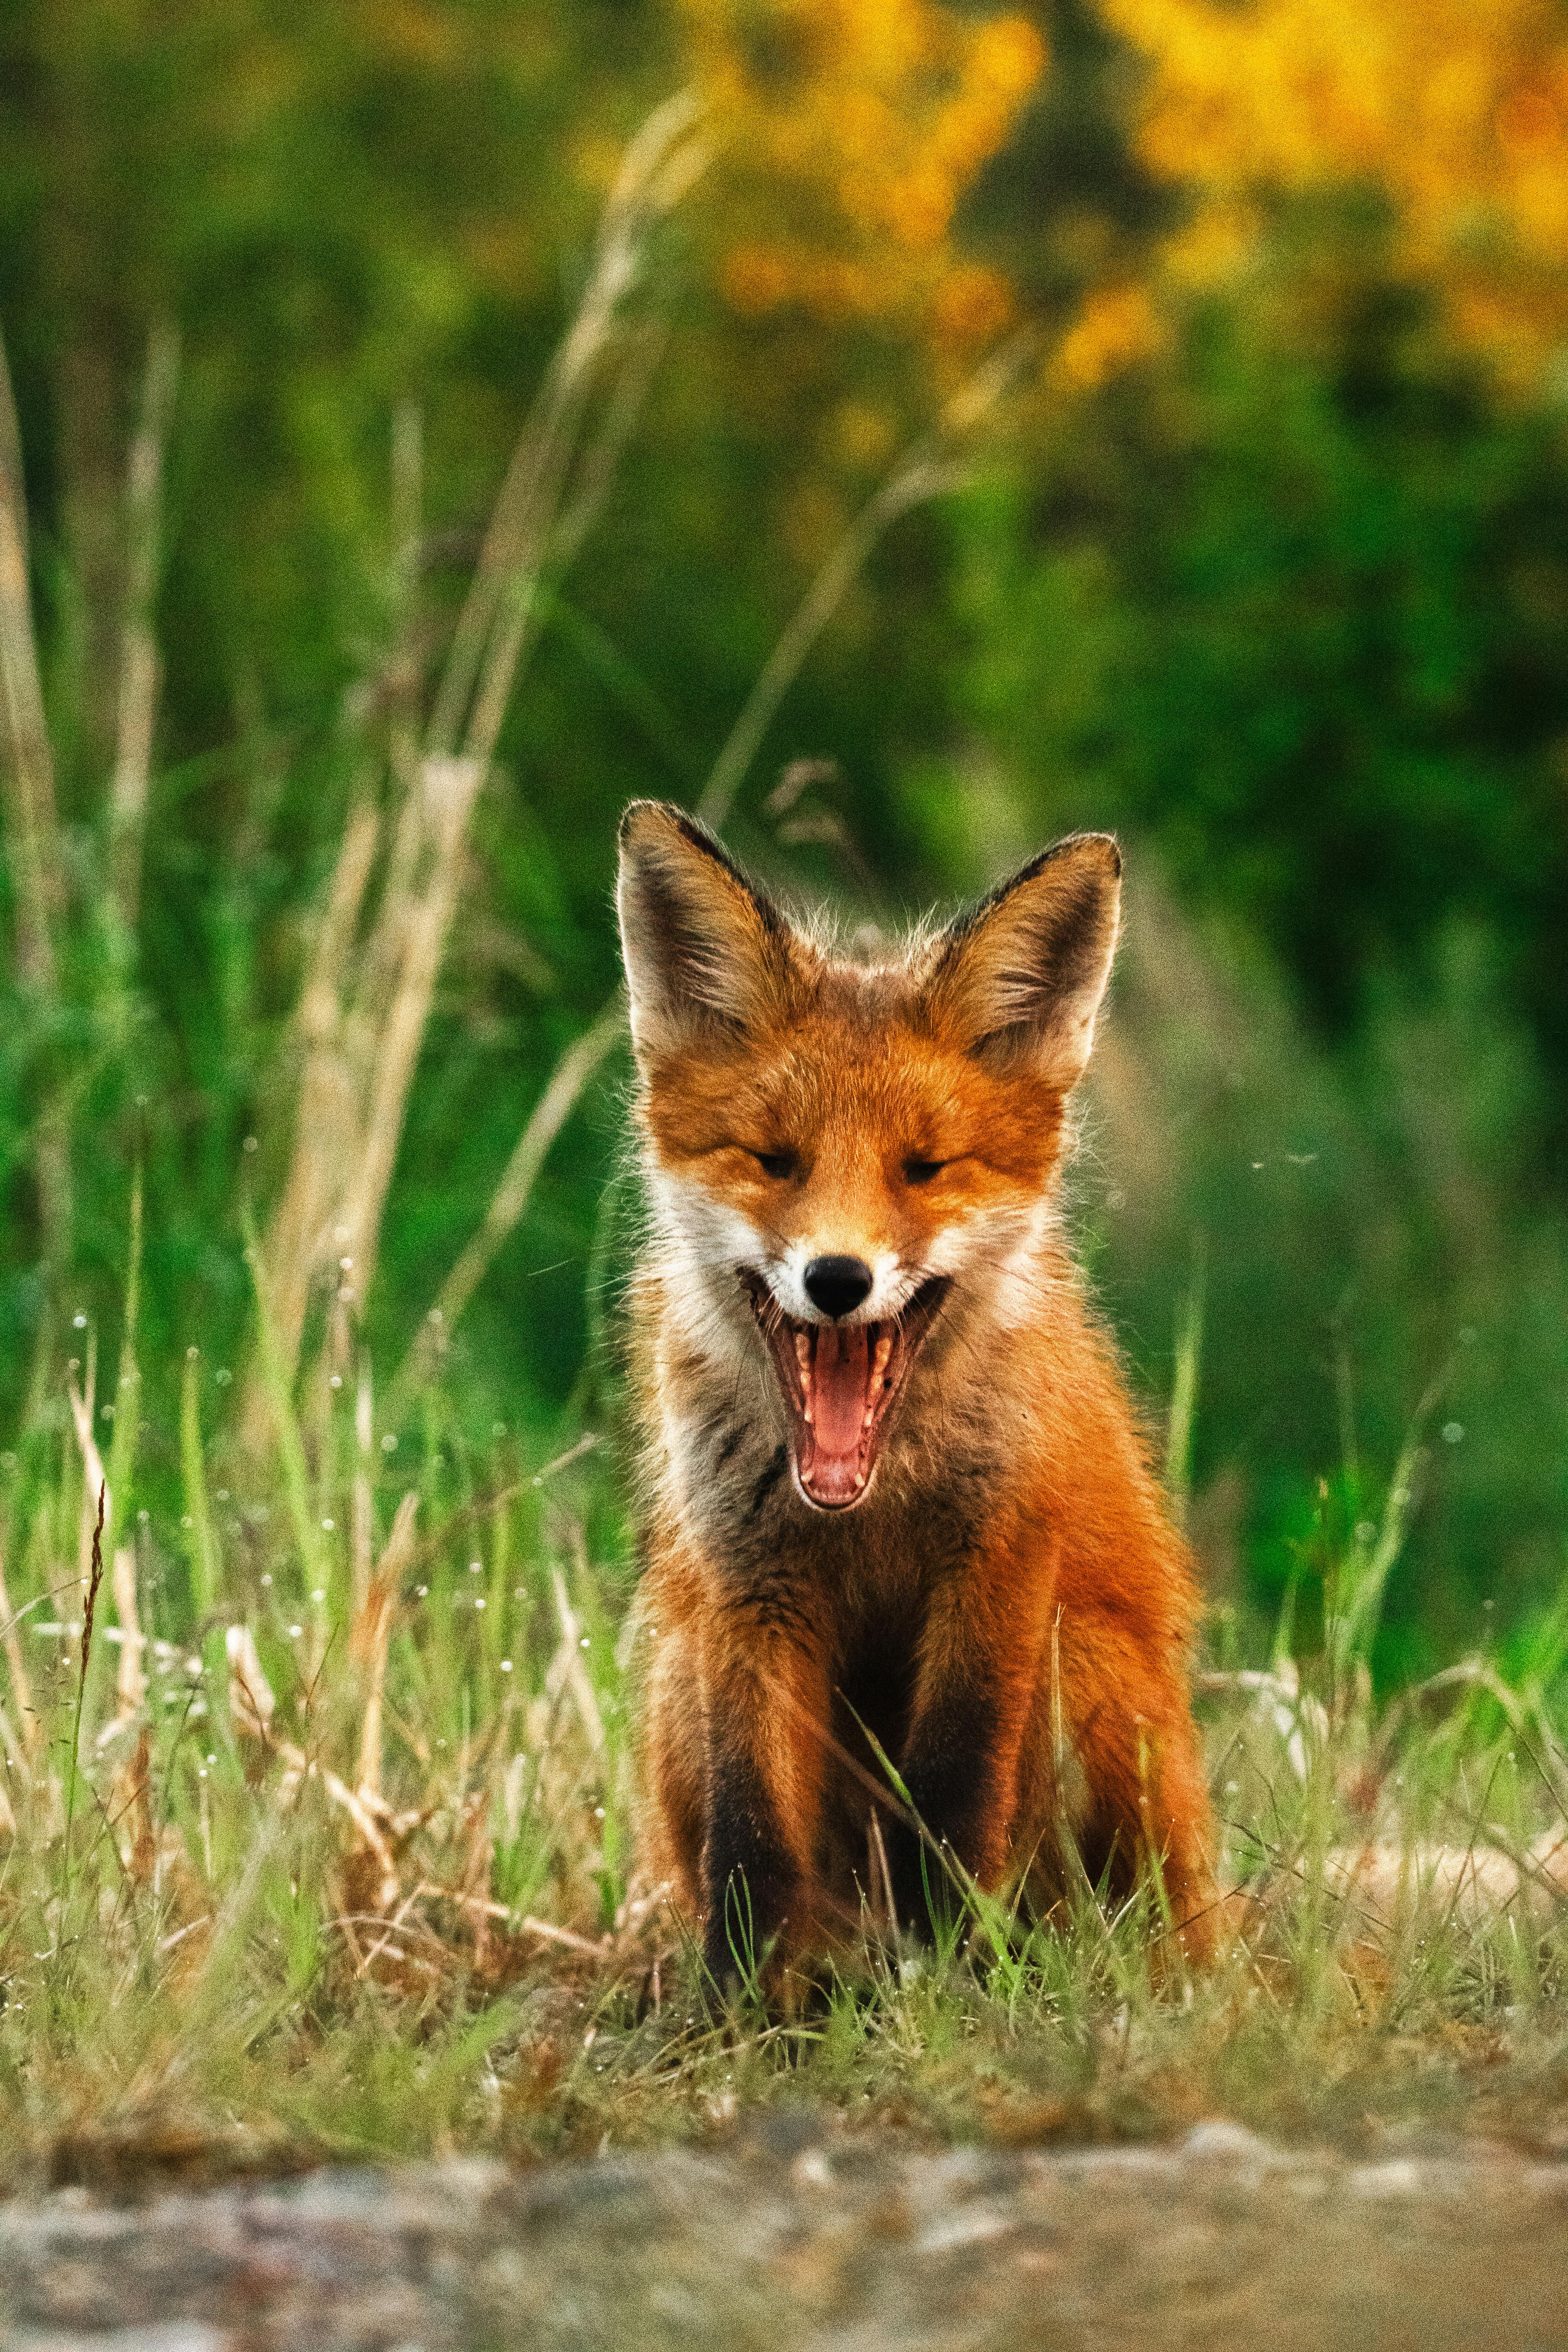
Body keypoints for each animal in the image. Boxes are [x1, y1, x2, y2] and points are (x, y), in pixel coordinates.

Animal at [615, 798, 1221, 1990]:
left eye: (924, 1168)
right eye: (774, 1159)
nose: (837, 1280)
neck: (874, 1499)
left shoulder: (997, 1566)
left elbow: (953, 1798)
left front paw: (950, 1989)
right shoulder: (748, 1588)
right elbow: (752, 1839)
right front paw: (743, 2013)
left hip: (1095, 1669)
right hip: (675, 1677)